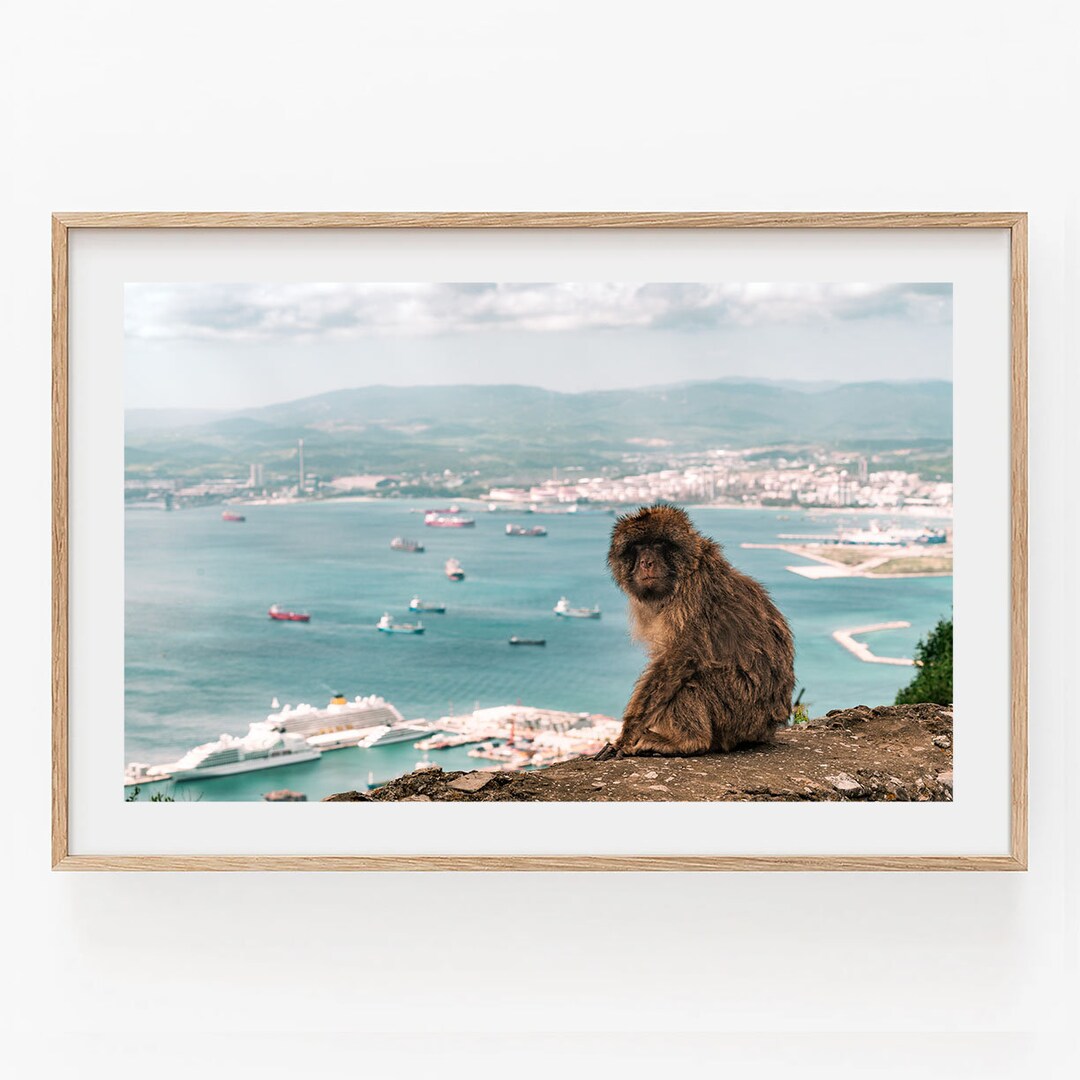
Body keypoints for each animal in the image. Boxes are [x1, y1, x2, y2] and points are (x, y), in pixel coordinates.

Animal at [597, 504, 795, 759]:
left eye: (658, 544)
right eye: (638, 547)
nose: (646, 562)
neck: (685, 575)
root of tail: (769, 726)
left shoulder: (691, 598)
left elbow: (678, 660)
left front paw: (627, 736)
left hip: (740, 712)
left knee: (693, 678)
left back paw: (688, 741)